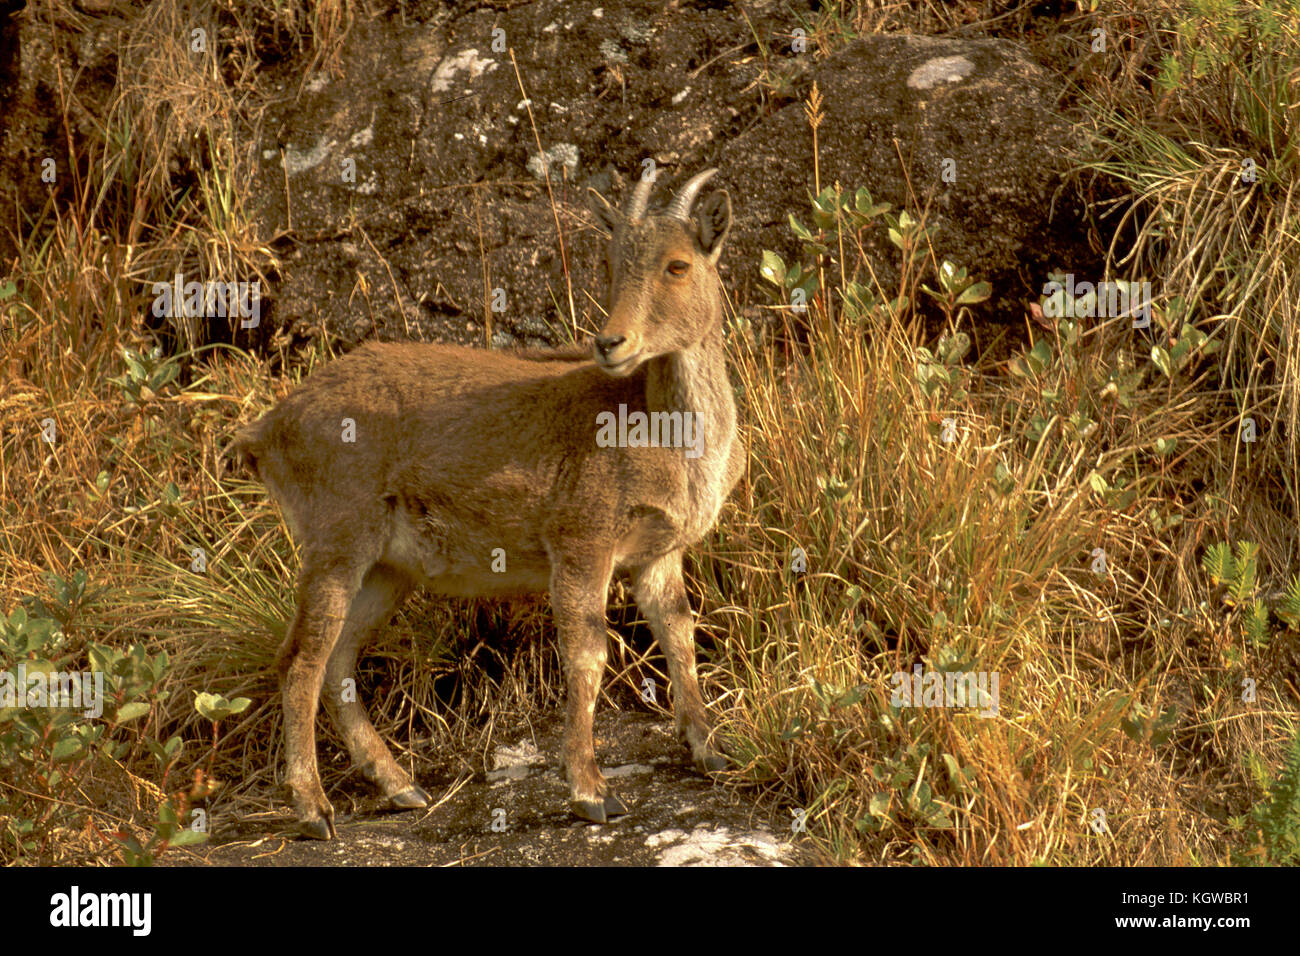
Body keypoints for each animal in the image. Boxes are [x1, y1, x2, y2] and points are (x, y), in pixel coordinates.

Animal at [227, 168, 743, 839]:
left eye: (677, 264)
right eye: (611, 261)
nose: (611, 342)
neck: (664, 433)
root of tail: (265, 431)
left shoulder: (658, 554)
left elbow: (679, 633)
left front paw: (711, 751)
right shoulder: (581, 540)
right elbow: (588, 654)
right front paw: (591, 792)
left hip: (386, 568)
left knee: (339, 658)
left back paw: (401, 787)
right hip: (335, 541)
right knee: (300, 659)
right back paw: (315, 809)